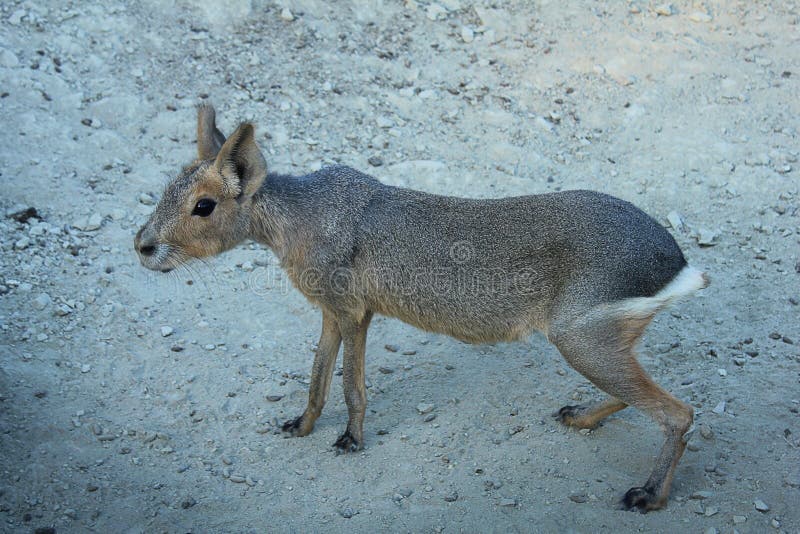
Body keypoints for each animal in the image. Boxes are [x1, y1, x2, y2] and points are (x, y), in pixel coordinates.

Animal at [135, 103, 708, 511]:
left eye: (203, 205)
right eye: (165, 190)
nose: (142, 246)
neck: (298, 219)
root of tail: (677, 261)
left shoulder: (352, 310)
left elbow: (351, 384)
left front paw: (350, 439)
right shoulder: (330, 312)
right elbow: (318, 373)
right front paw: (301, 424)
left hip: (580, 338)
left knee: (678, 413)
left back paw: (649, 495)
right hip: (597, 342)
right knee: (641, 398)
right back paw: (582, 417)